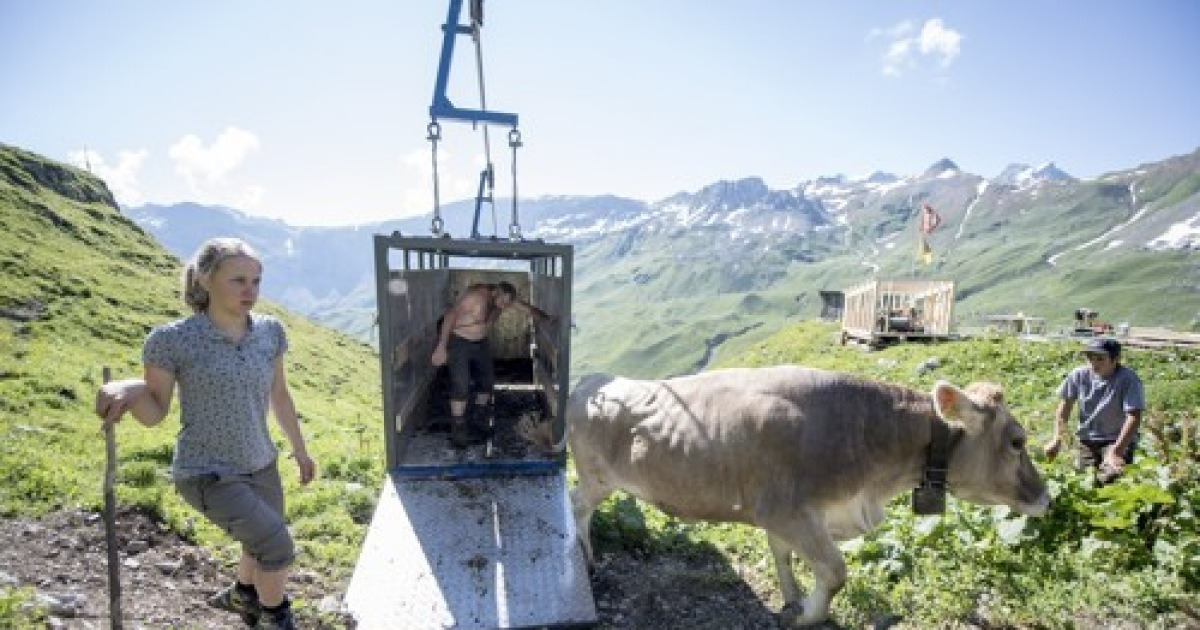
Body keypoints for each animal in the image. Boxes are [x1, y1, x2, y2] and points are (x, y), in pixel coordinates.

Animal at [566, 366, 1050, 627]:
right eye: (1017, 441)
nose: (1046, 497)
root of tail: (593, 381)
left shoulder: (784, 515)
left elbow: (783, 557)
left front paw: (791, 597)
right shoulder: (789, 512)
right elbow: (835, 573)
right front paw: (804, 615)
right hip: (596, 476)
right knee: (575, 506)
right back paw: (584, 558)